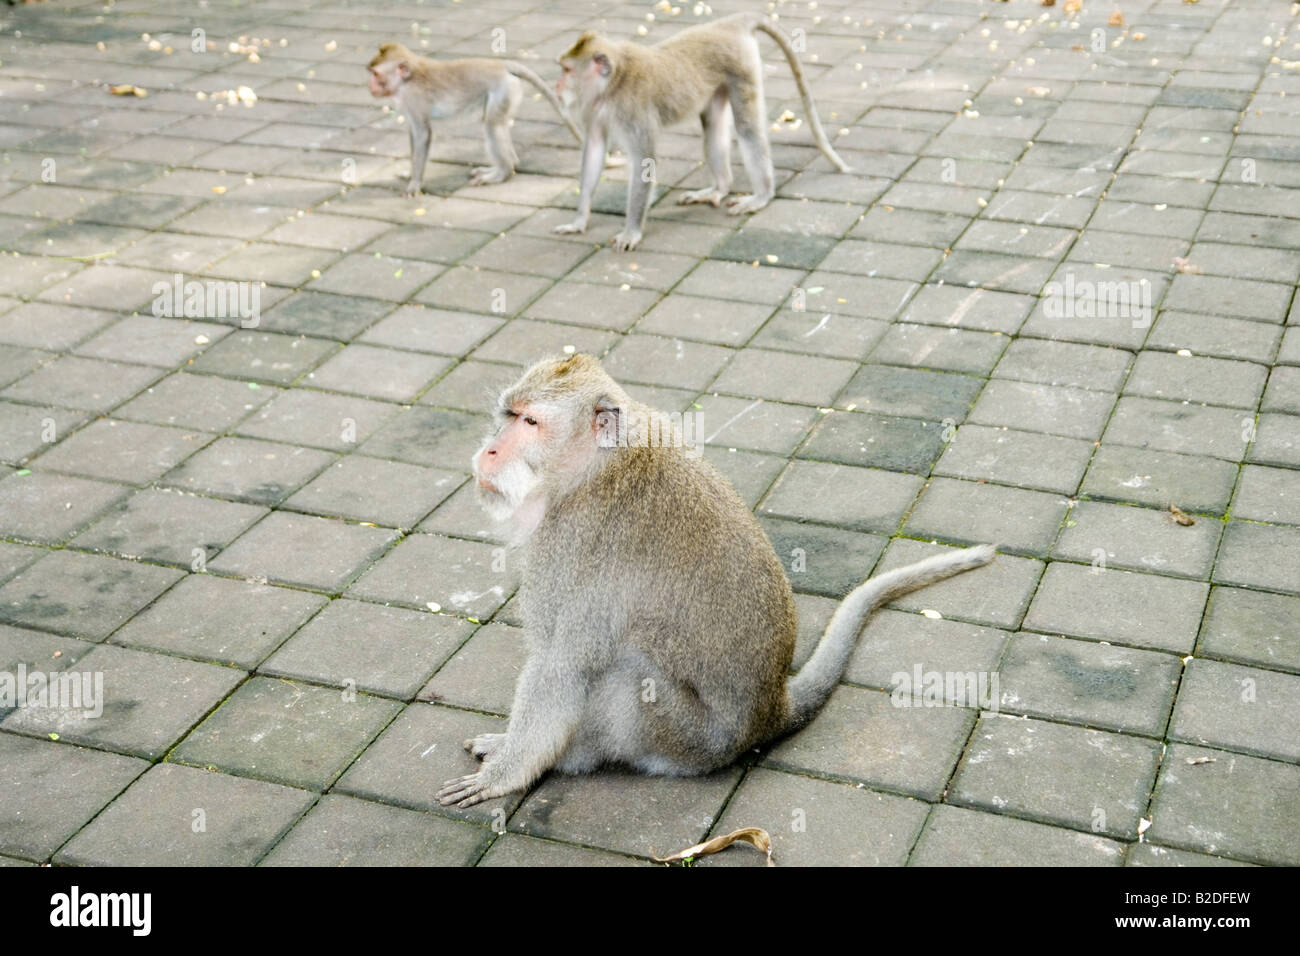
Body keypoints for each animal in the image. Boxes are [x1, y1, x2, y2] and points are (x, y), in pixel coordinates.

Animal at [367, 42, 586, 195]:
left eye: (376, 74)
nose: (370, 86)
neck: (407, 79)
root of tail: (501, 64)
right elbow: (414, 134)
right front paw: (410, 174)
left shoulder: (414, 99)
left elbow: (422, 134)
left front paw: (415, 184)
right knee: (498, 124)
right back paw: (507, 165)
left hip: (502, 91)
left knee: (491, 126)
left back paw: (502, 173)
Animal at [435, 354, 995, 808]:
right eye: (509, 416)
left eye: (530, 422)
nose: (490, 451)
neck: (597, 466)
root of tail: (772, 710)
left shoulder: (571, 543)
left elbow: (562, 665)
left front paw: (507, 772)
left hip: (689, 740)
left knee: (627, 669)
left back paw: (572, 756)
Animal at [550, 12, 853, 251]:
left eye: (567, 70)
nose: (556, 86)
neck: (613, 84)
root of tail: (728, 24)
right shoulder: (594, 110)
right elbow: (594, 150)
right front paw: (578, 221)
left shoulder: (634, 113)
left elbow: (644, 162)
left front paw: (631, 232)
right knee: (713, 126)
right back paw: (719, 188)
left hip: (741, 67)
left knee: (747, 128)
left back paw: (762, 195)